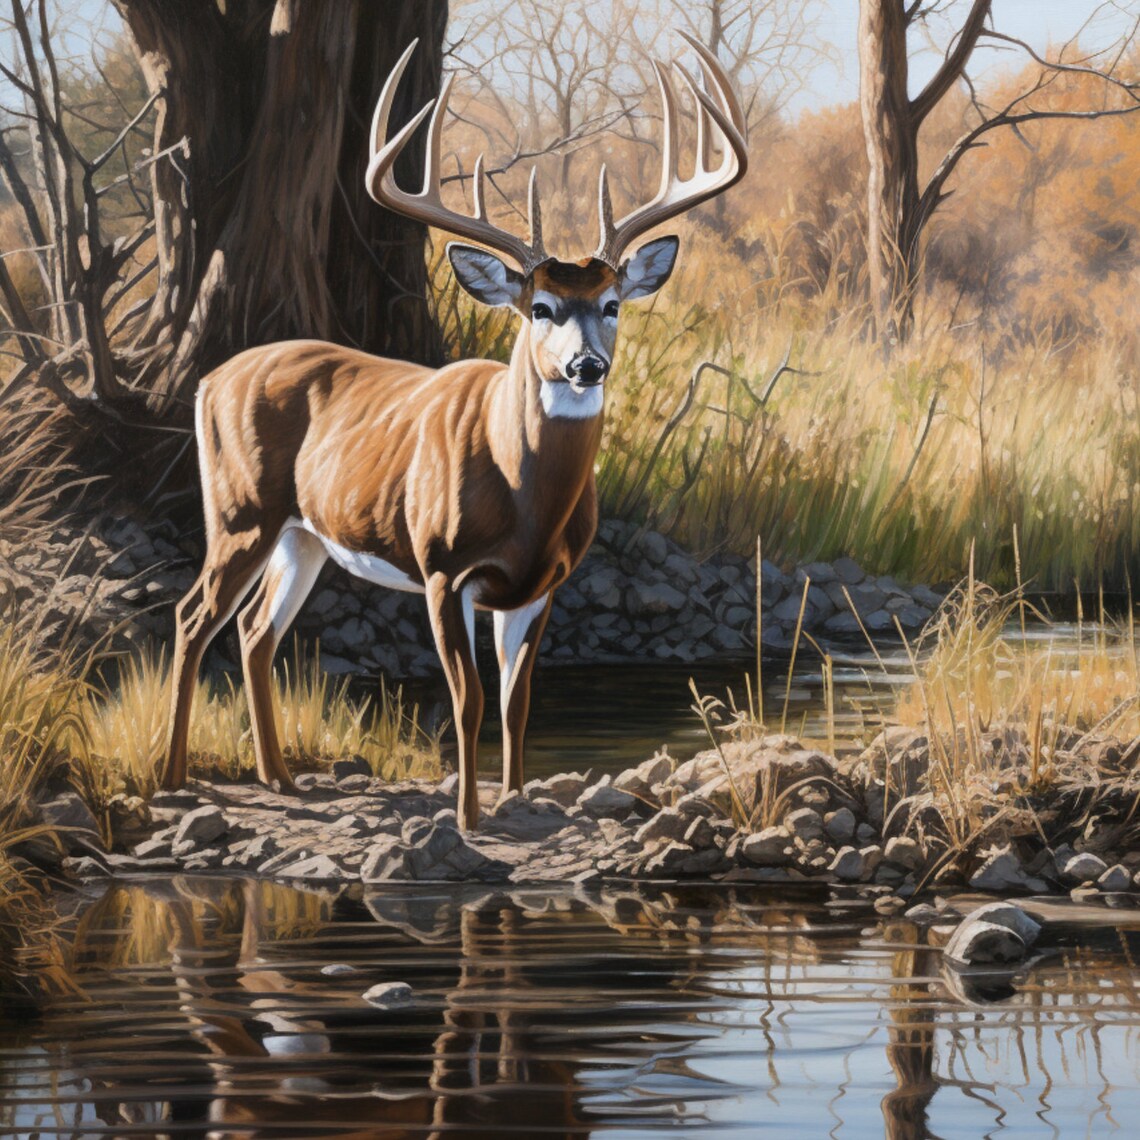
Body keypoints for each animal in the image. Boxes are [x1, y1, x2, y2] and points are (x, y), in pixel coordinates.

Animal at [160, 33, 747, 830]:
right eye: (540, 308)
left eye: (614, 303)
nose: (586, 365)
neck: (526, 502)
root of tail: (206, 380)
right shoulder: (442, 568)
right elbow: (467, 701)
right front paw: (469, 816)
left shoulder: (542, 585)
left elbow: (516, 701)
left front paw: (520, 798)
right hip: (240, 510)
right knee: (193, 617)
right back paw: (172, 776)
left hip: (303, 532)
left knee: (255, 632)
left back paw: (279, 779)